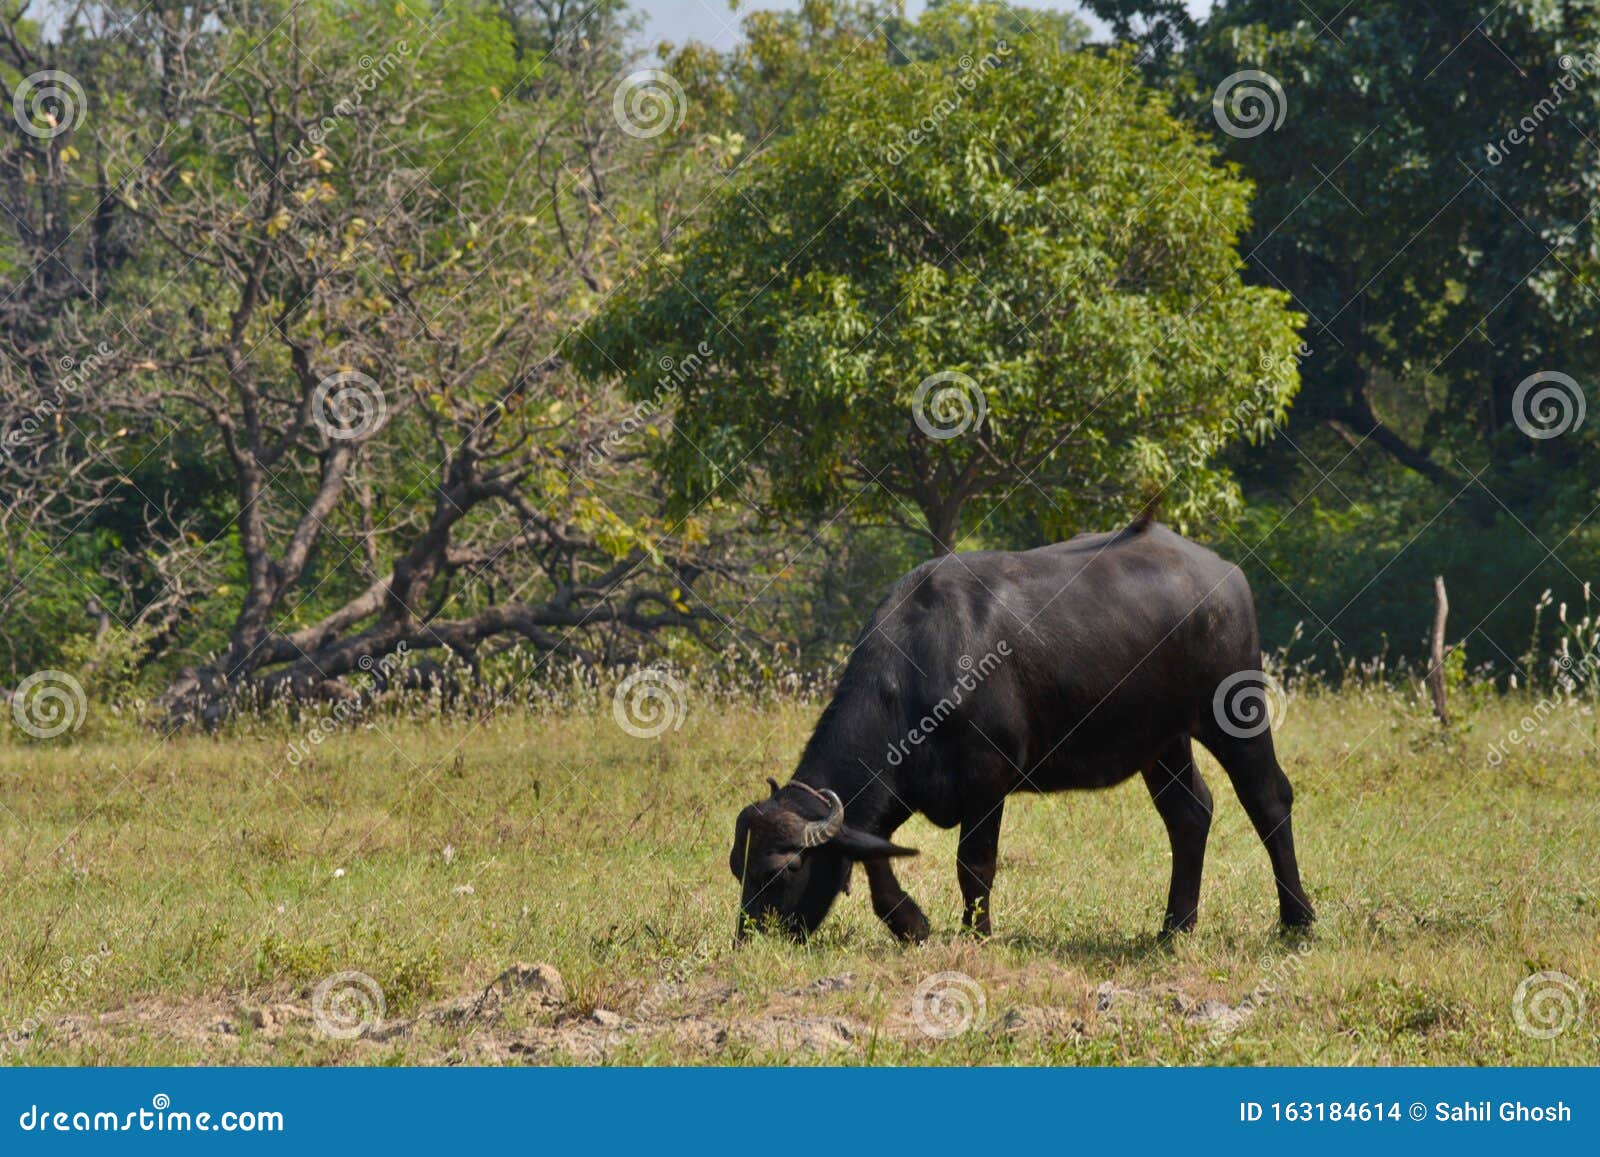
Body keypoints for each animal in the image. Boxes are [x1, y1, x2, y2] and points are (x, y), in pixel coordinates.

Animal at [729, 517, 1314, 943]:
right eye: (739, 868)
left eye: (780, 872)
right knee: (1189, 814)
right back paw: (1174, 928)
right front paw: (911, 923)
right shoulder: (902, 787)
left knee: (1268, 799)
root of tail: (1225, 575)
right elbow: (874, 852)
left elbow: (974, 863)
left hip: (1231, 712)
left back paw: (1297, 921)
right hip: (1163, 740)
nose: (750, 938)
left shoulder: (988, 780)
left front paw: (978, 933)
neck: (922, 665)